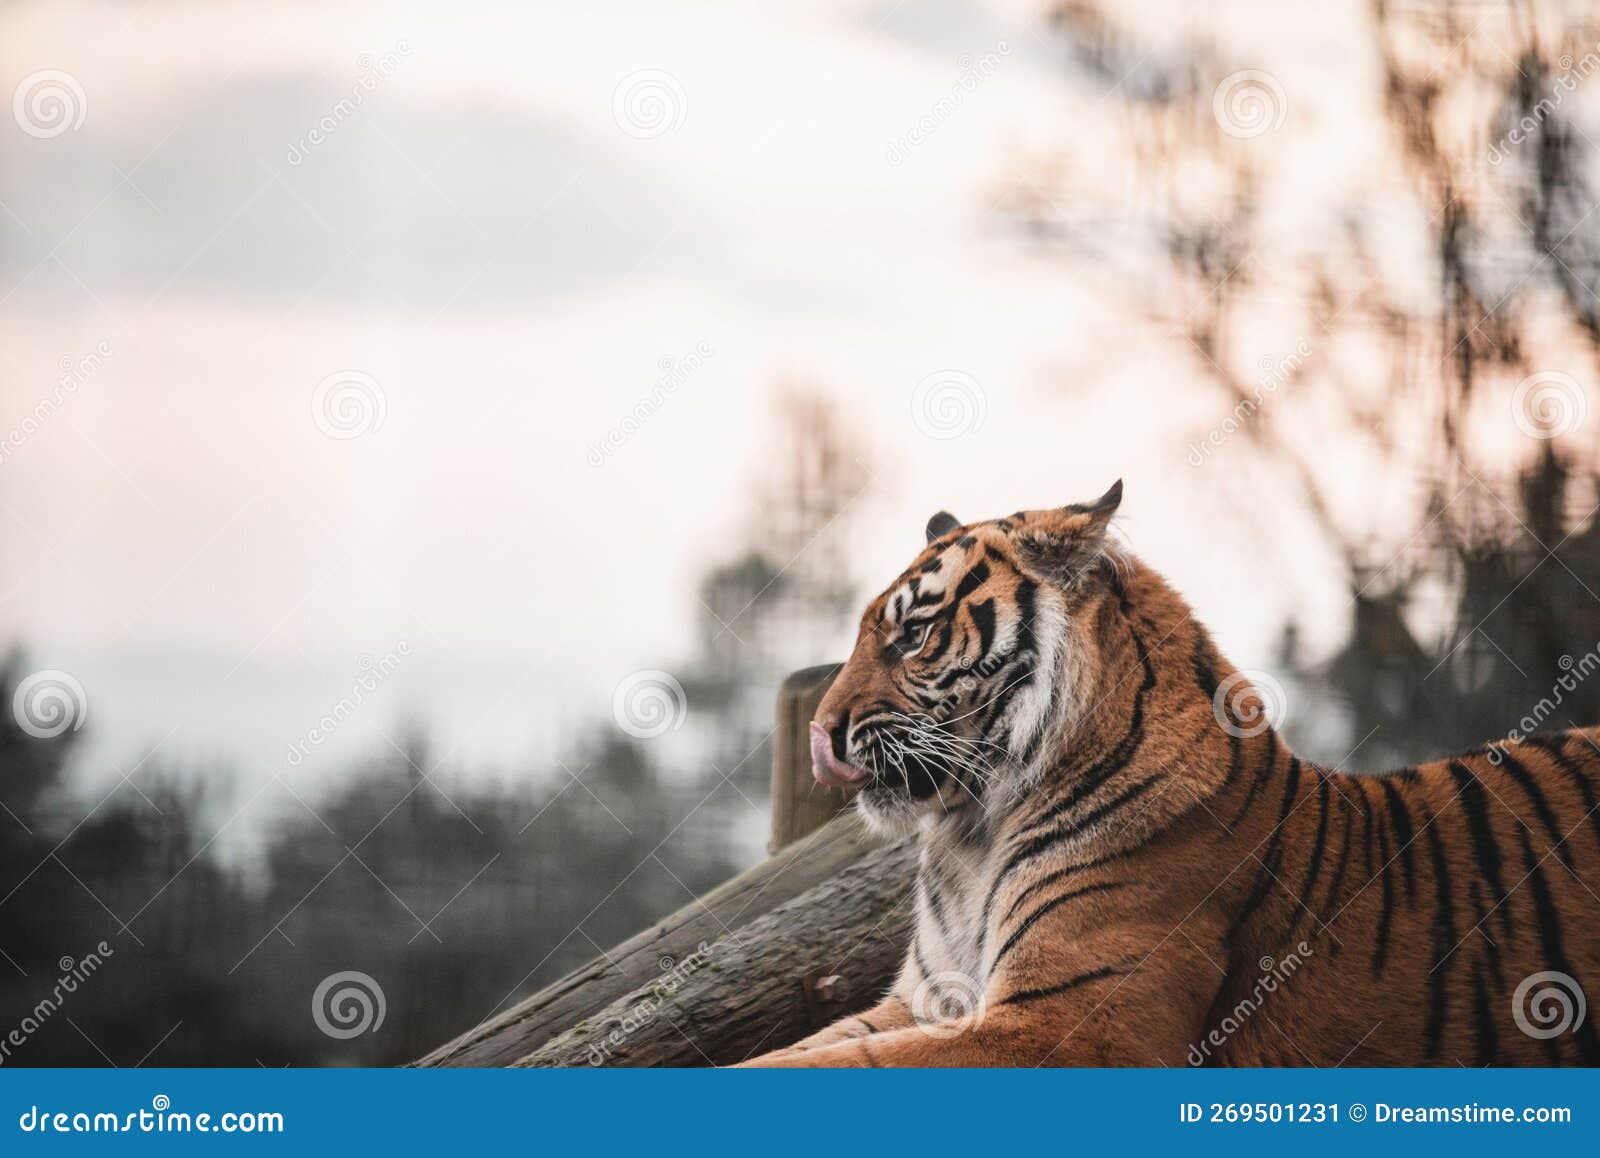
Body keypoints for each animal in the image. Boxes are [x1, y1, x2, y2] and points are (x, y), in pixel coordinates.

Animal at [741, 482, 1600, 1066]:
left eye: (914, 634)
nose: (820, 734)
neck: (971, 837)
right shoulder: (926, 995)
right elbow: (798, 1052)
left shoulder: (1069, 1023)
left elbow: (818, 1069)